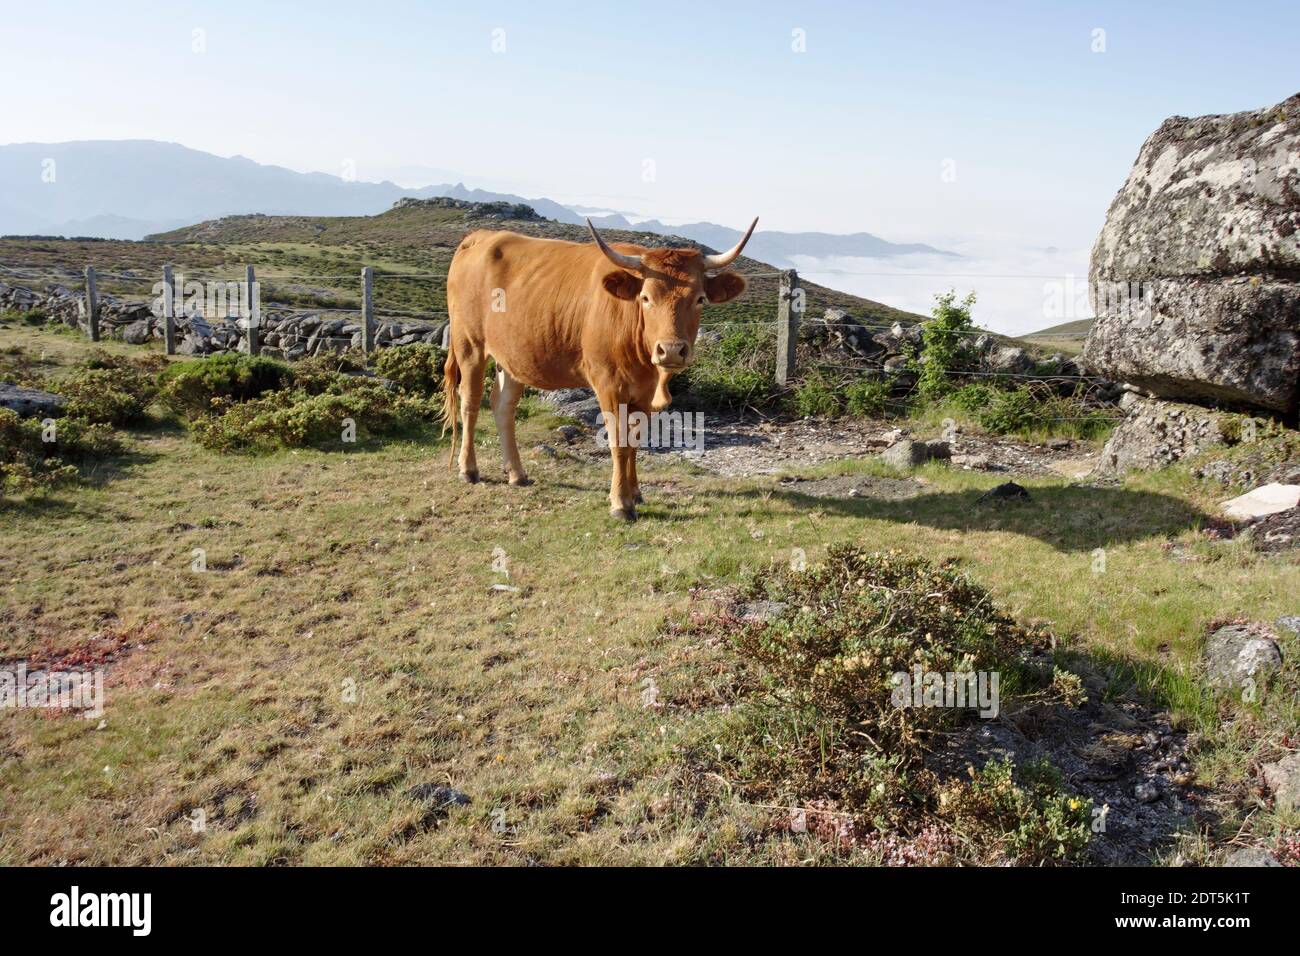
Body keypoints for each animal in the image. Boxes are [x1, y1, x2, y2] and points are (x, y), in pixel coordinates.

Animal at [442, 217, 758, 520]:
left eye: (700, 298)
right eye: (646, 297)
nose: (670, 350)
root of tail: (481, 236)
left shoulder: (643, 392)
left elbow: (635, 441)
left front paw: (635, 493)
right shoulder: (609, 385)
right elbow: (619, 442)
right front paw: (620, 502)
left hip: (512, 356)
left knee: (502, 405)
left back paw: (516, 473)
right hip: (469, 344)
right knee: (470, 402)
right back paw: (468, 469)